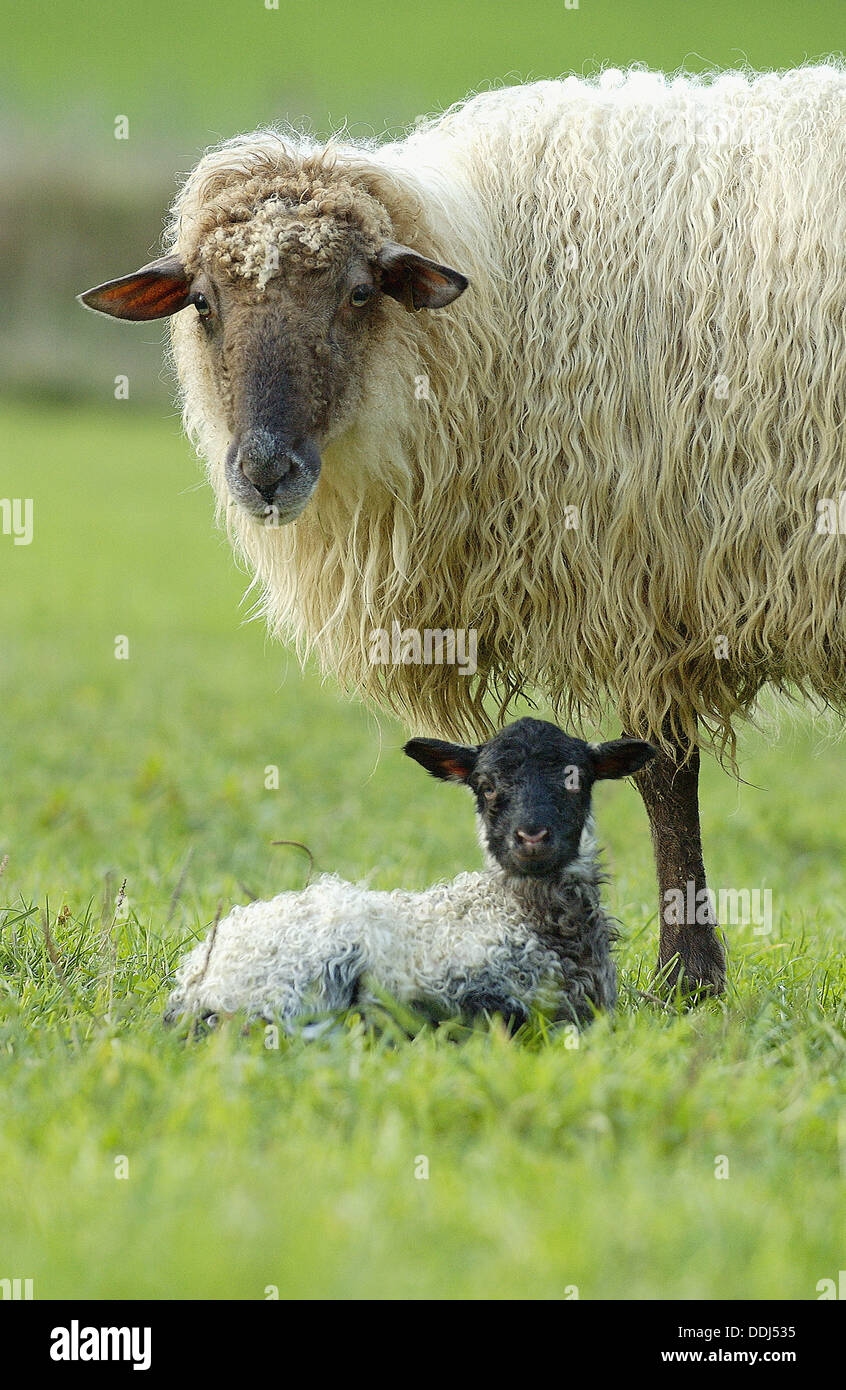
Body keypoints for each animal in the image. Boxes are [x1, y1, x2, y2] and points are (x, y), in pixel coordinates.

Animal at [79, 64, 846, 996]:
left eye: (359, 292)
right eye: (201, 301)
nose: (263, 471)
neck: (503, 315)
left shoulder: (647, 578)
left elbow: (662, 775)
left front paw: (687, 979)